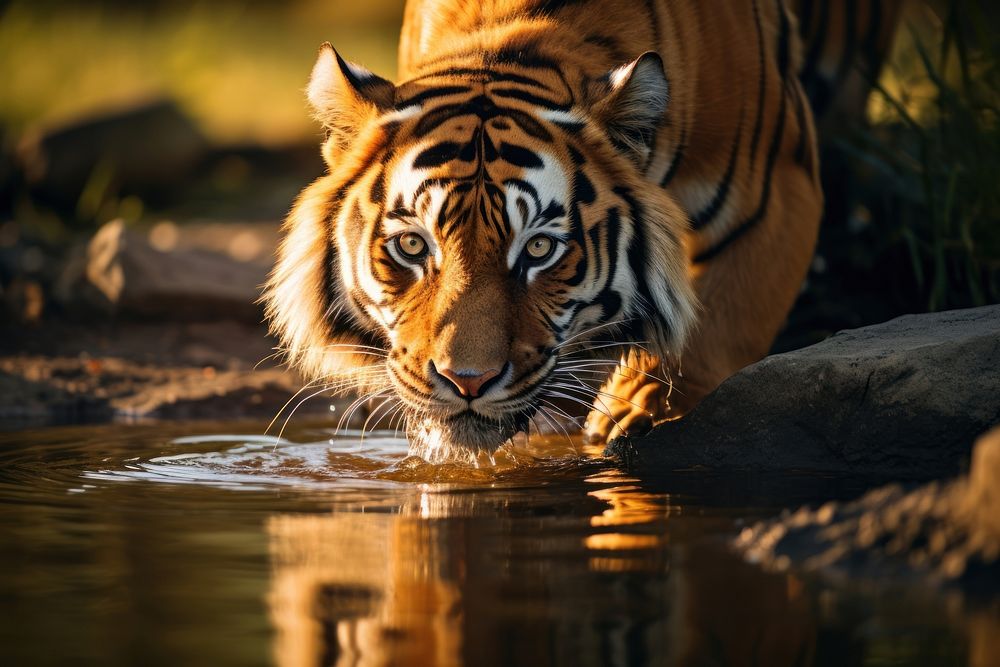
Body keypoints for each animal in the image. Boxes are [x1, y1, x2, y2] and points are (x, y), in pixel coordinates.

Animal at [264, 0, 900, 454]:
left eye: (540, 249)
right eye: (414, 245)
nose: (466, 382)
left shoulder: (777, 191)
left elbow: (718, 330)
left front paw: (639, 406)